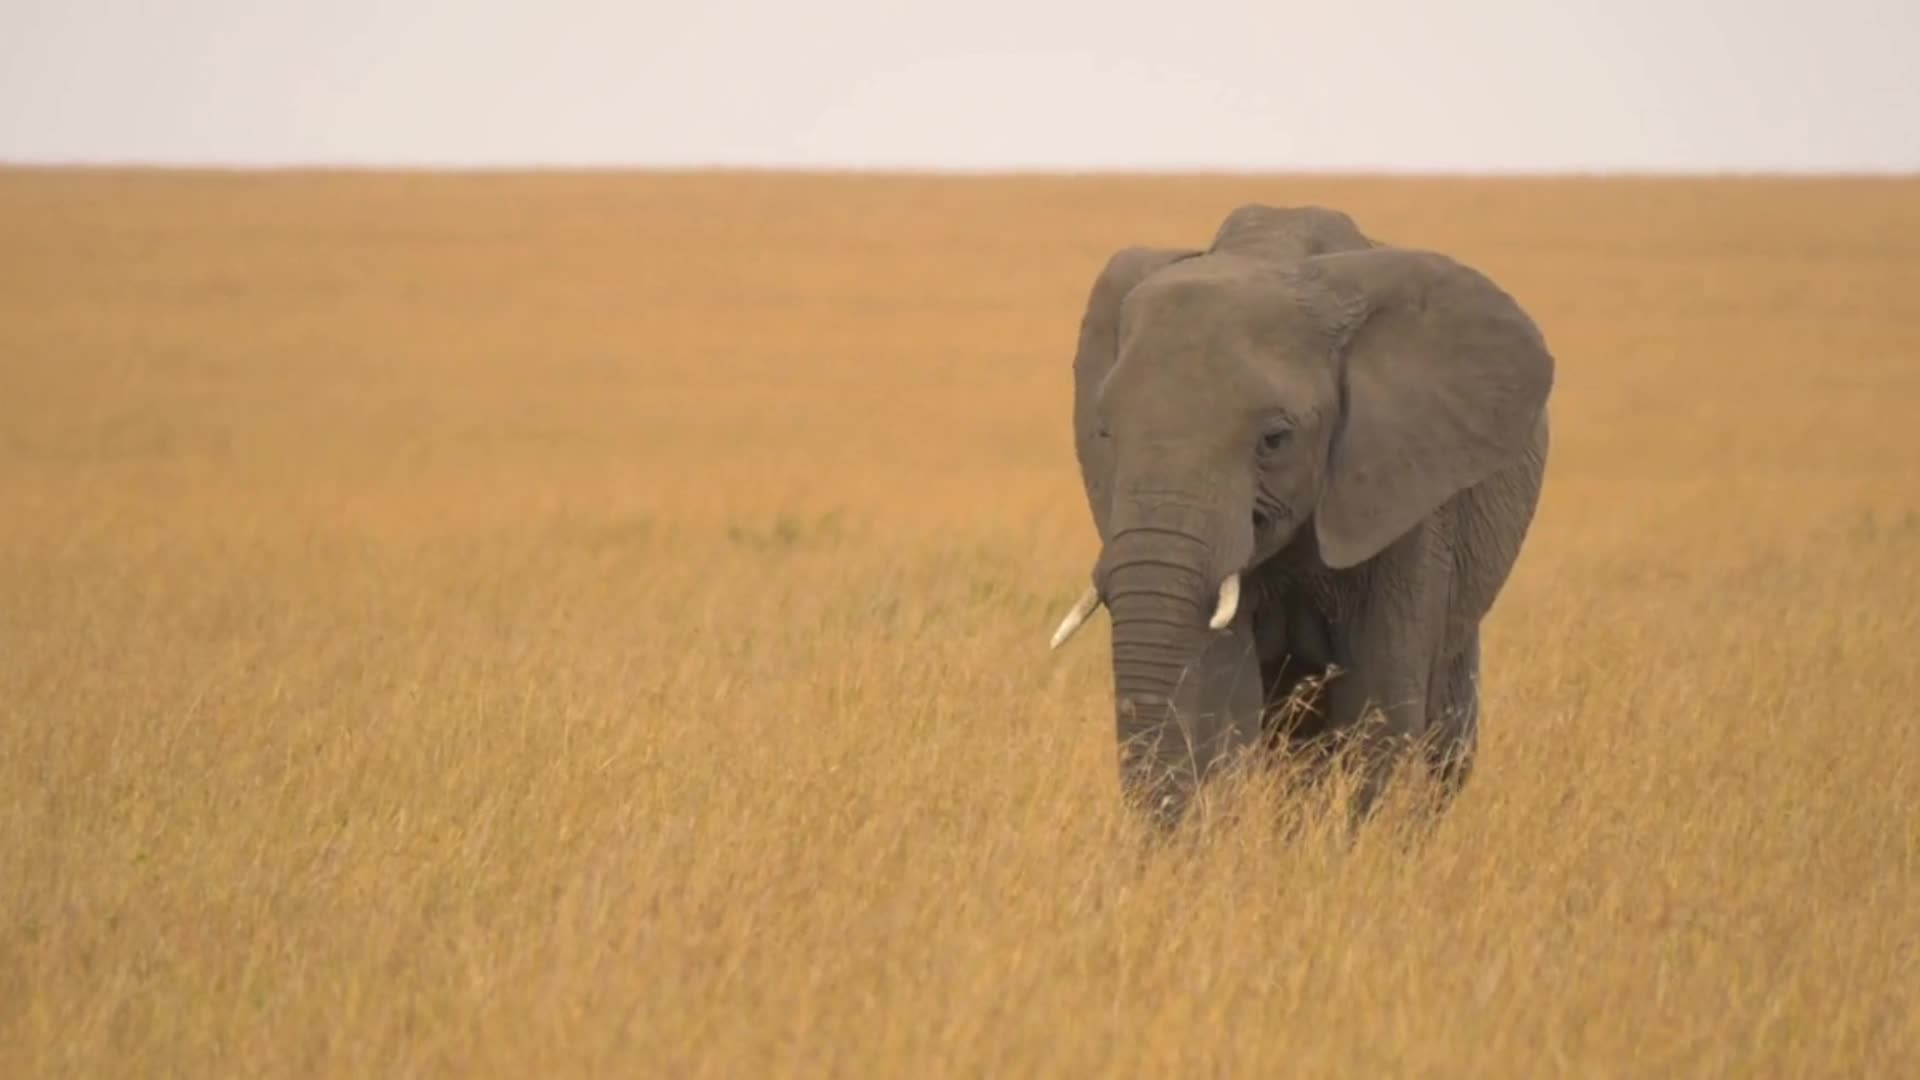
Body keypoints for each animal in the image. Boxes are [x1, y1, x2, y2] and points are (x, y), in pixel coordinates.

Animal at [1049, 204, 1553, 828]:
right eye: (1105, 434)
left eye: (1275, 439)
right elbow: (1225, 696)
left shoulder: (1409, 495)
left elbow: (1380, 702)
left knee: (1446, 737)